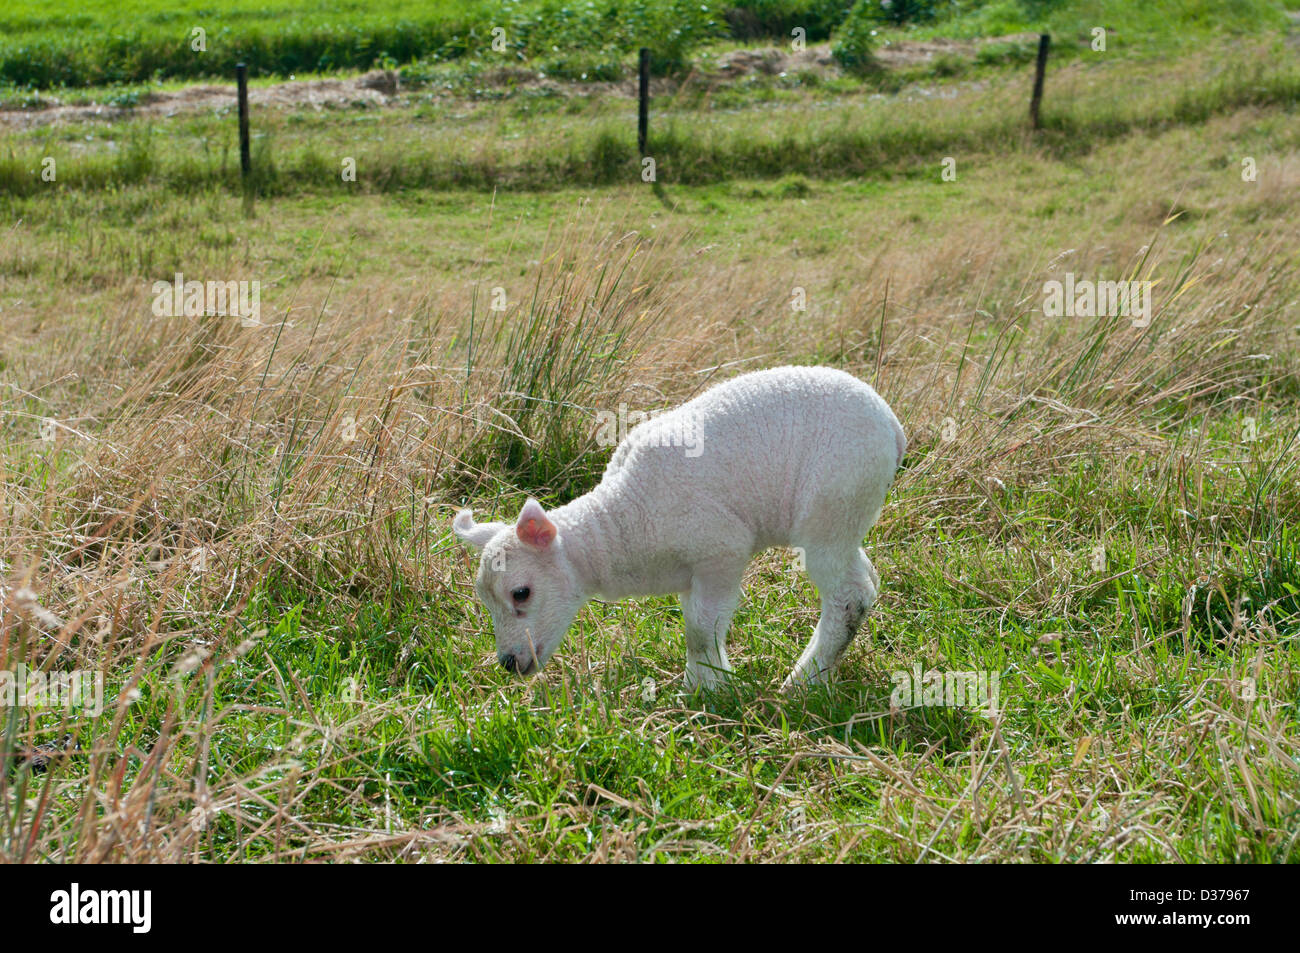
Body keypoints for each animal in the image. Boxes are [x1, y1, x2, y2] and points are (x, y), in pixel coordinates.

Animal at [453, 365, 906, 691]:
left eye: (521, 593)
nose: (509, 663)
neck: (621, 524)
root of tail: (892, 424)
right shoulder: (692, 574)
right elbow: (698, 626)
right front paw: (703, 683)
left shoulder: (720, 550)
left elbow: (701, 631)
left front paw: (711, 694)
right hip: (846, 520)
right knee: (866, 579)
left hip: (832, 508)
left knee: (849, 598)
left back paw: (801, 684)